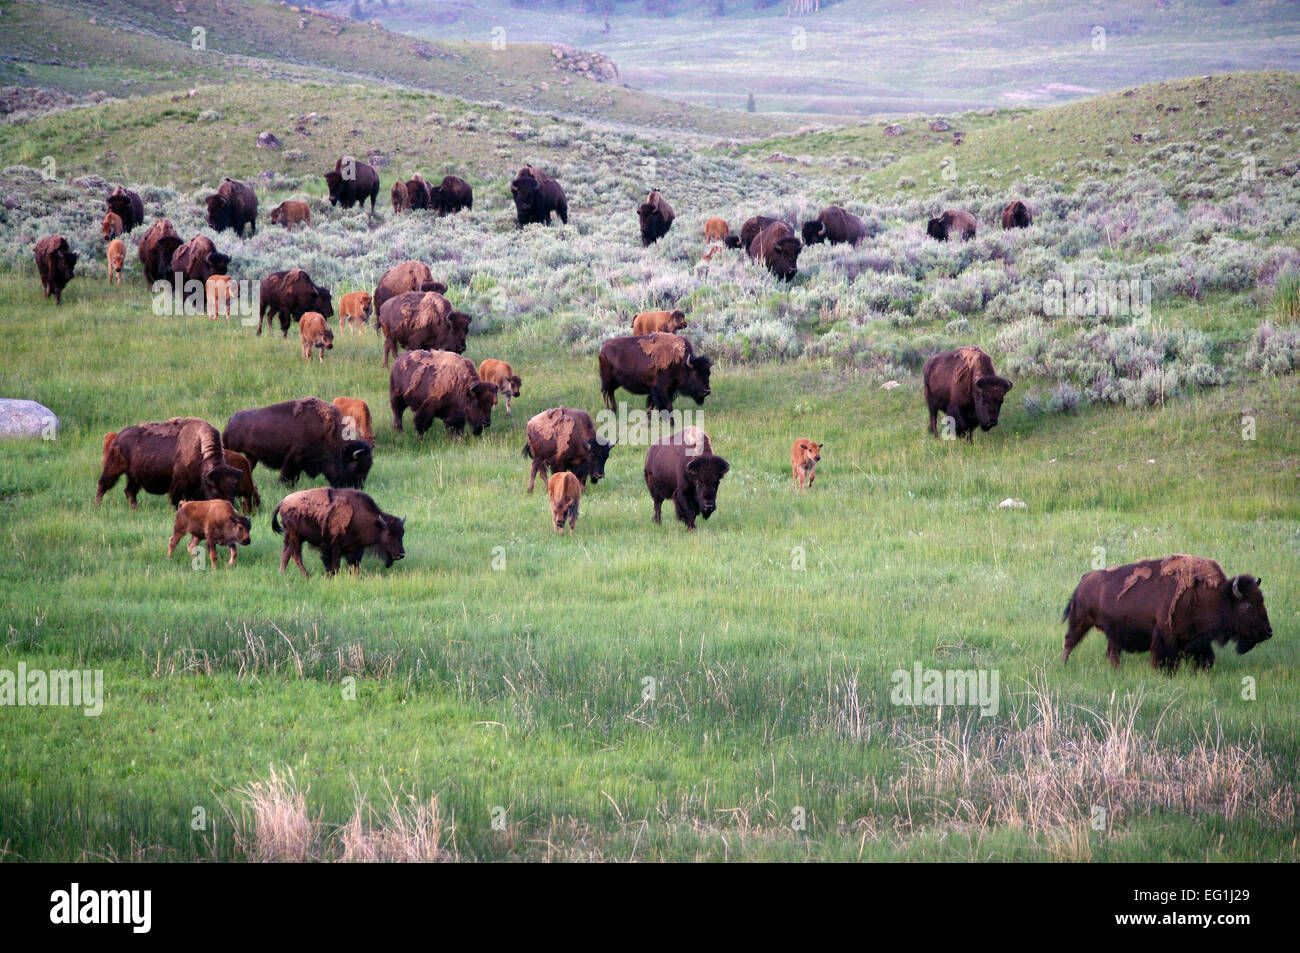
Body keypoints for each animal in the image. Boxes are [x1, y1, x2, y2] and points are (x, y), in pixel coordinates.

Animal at [223, 397, 372, 489]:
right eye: (355, 467)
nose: (358, 487)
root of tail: (232, 419)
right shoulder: (294, 458)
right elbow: (287, 475)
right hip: (230, 448)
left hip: (252, 456)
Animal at [272, 487, 405, 577]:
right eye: (389, 533)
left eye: (402, 533)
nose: (401, 554)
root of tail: (283, 502)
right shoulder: (334, 546)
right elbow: (334, 565)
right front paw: (330, 576)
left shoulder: (356, 548)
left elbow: (354, 564)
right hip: (296, 536)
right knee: (296, 556)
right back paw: (307, 576)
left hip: (295, 537)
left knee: (286, 553)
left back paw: (282, 573)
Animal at [1062, 554, 1274, 671]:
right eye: (1248, 606)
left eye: (1262, 601)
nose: (1268, 632)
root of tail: (1084, 579)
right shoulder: (1166, 636)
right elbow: (1166, 659)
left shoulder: (1199, 639)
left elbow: (1206, 658)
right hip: (1080, 621)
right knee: (1069, 642)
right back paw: (1063, 665)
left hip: (1112, 633)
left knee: (1112, 653)